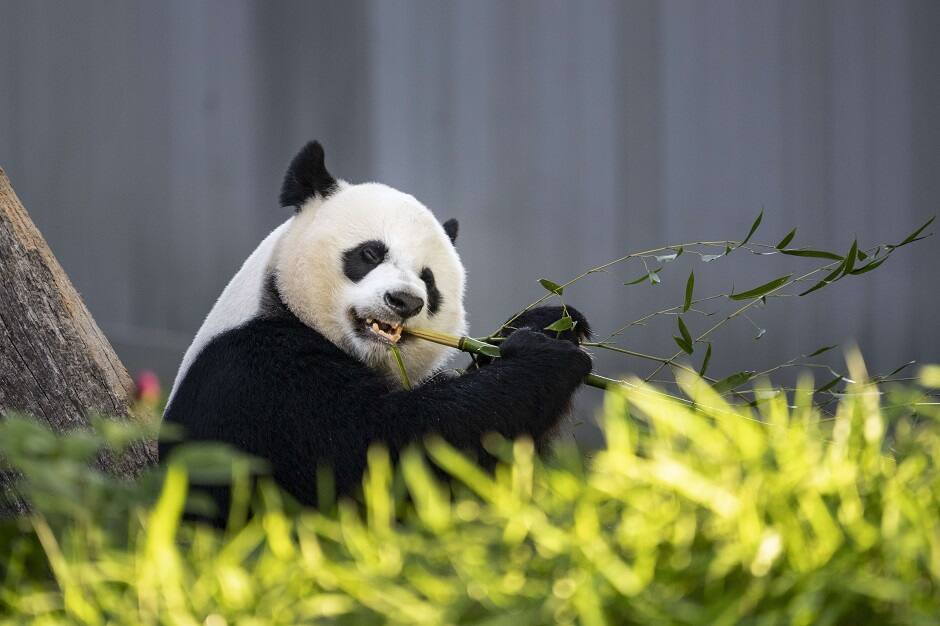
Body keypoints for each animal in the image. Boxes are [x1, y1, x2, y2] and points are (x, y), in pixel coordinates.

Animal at [161, 140, 592, 514]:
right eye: (370, 253)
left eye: (429, 281)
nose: (405, 301)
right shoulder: (261, 375)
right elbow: (388, 447)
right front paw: (549, 357)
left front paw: (553, 324)